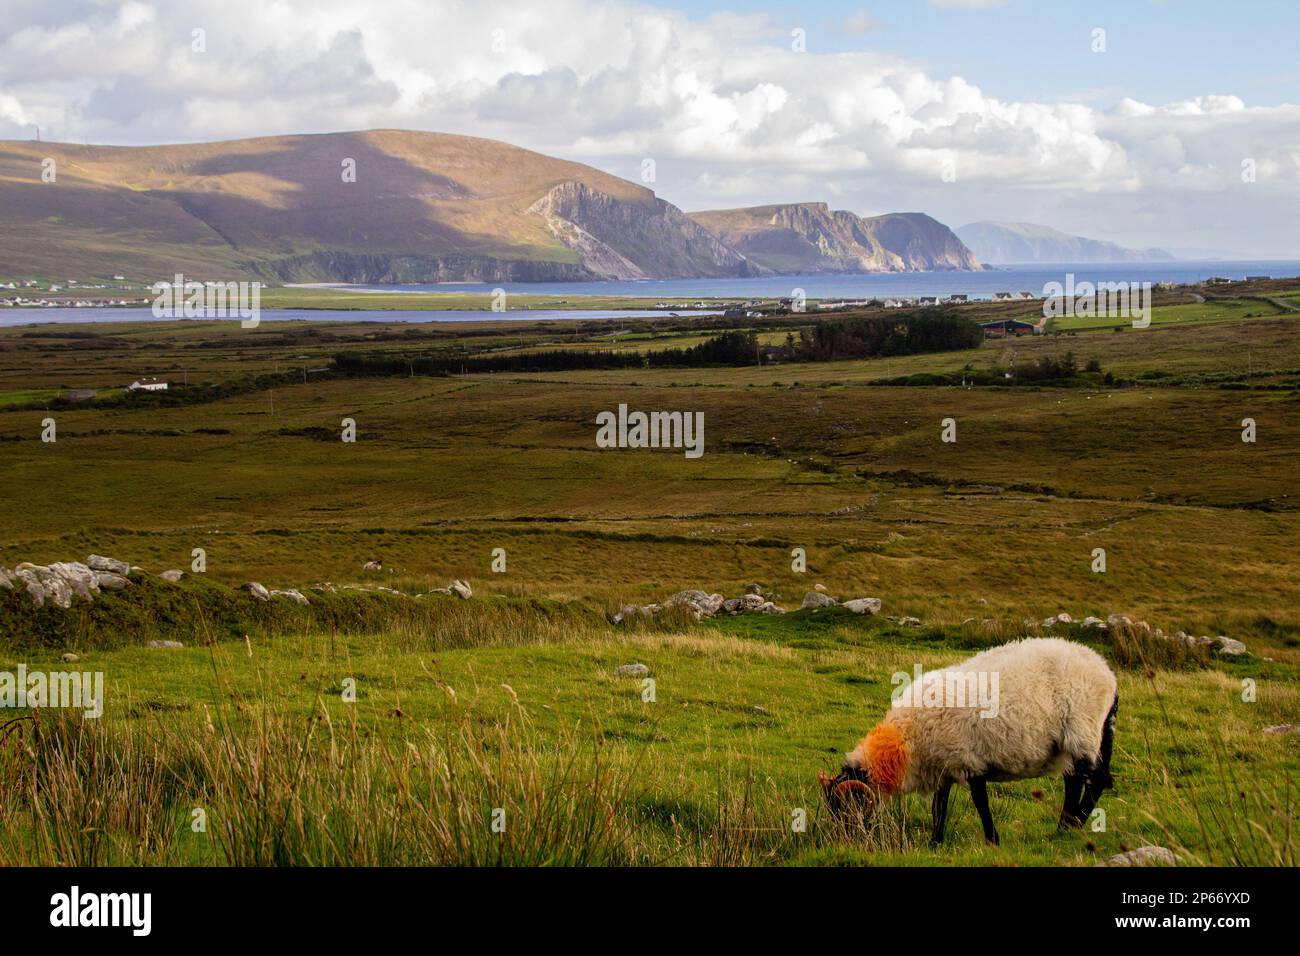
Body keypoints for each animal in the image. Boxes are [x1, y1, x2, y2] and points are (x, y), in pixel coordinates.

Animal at [819, 637, 1118, 845]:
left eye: (846, 807)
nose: (843, 840)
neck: (907, 741)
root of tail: (1108, 674)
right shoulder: (942, 768)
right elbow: (939, 807)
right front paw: (935, 842)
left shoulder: (970, 762)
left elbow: (980, 803)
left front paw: (992, 840)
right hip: (1083, 738)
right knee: (1078, 781)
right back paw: (1067, 825)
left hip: (1083, 731)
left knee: (1092, 780)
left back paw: (1068, 827)